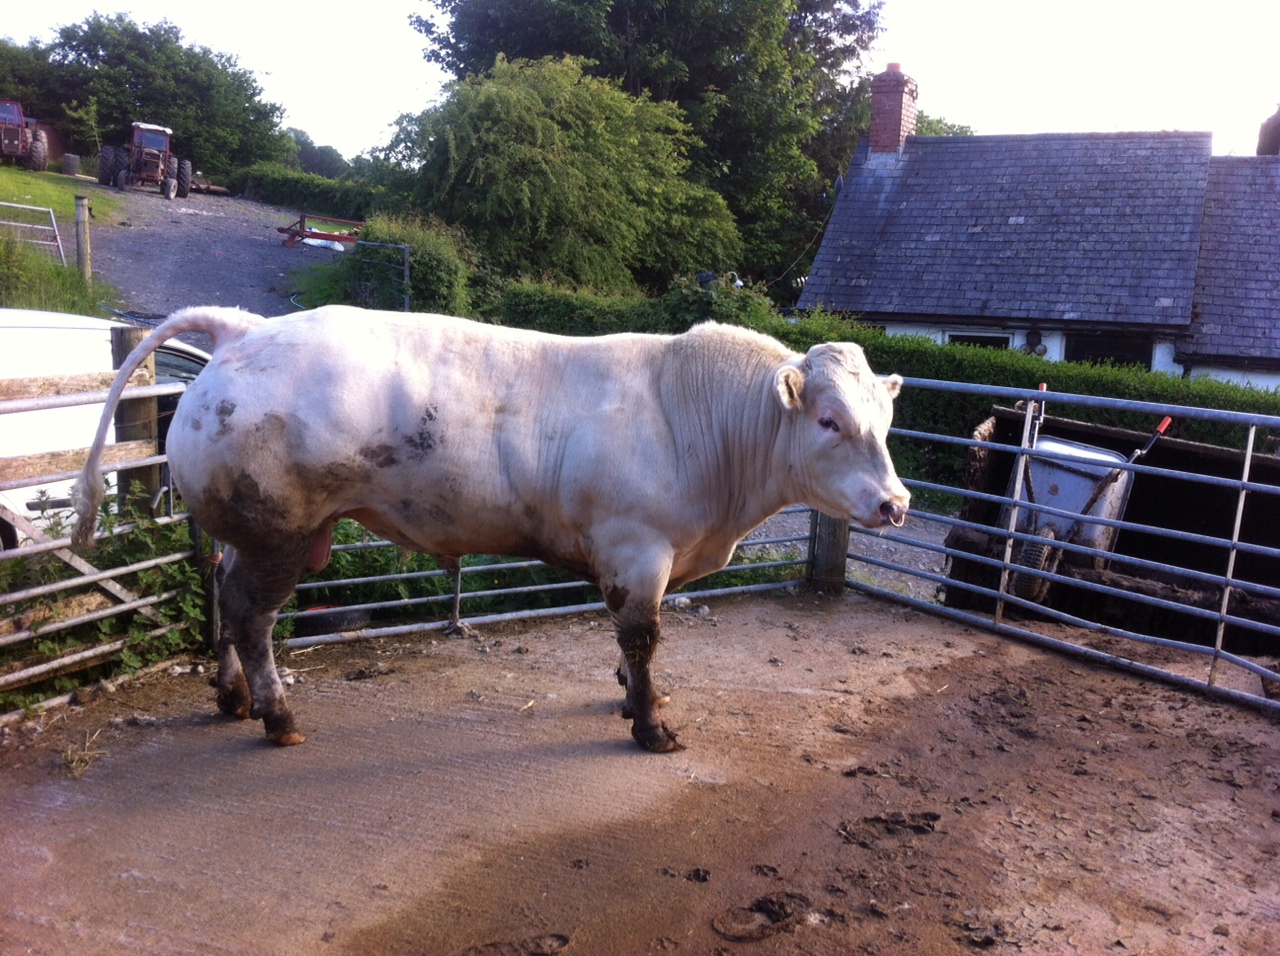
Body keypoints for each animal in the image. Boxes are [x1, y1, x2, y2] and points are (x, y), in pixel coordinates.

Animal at [72, 305, 909, 752]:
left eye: (886, 418)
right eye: (830, 421)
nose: (897, 504)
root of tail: (244, 328)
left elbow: (627, 641)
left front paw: (635, 699)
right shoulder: (637, 549)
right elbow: (642, 637)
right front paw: (648, 725)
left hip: (251, 532)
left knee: (222, 590)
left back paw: (232, 695)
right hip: (281, 531)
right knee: (251, 615)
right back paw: (277, 715)